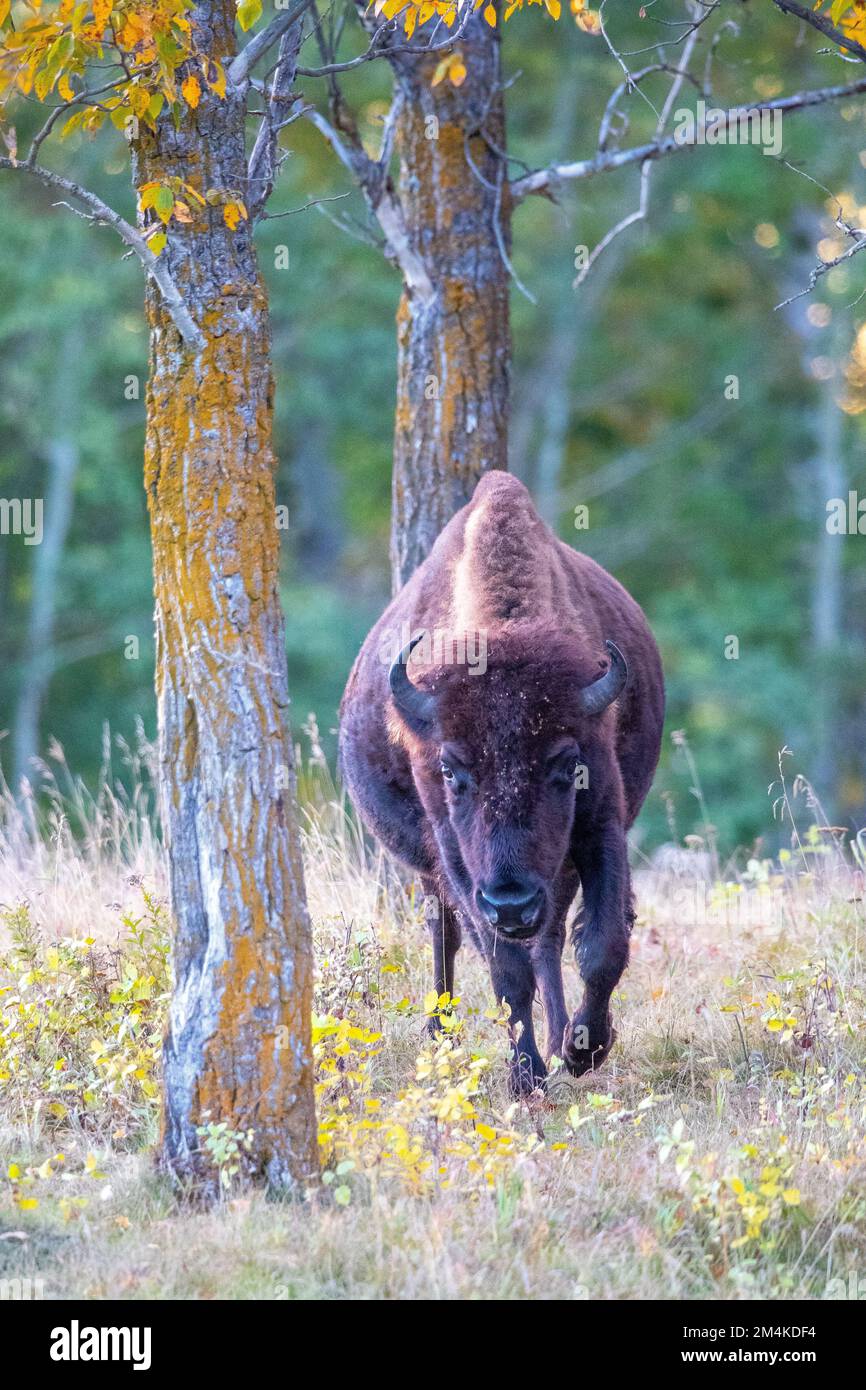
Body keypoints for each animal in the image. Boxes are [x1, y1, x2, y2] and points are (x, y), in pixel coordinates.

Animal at [339, 472, 665, 1091]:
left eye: (566, 764)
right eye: (450, 770)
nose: (510, 902)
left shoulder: (600, 827)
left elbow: (602, 945)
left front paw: (584, 1050)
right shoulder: (457, 857)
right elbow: (504, 968)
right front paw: (526, 1076)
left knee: (549, 938)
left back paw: (560, 1037)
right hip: (436, 871)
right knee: (446, 933)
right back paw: (442, 1035)